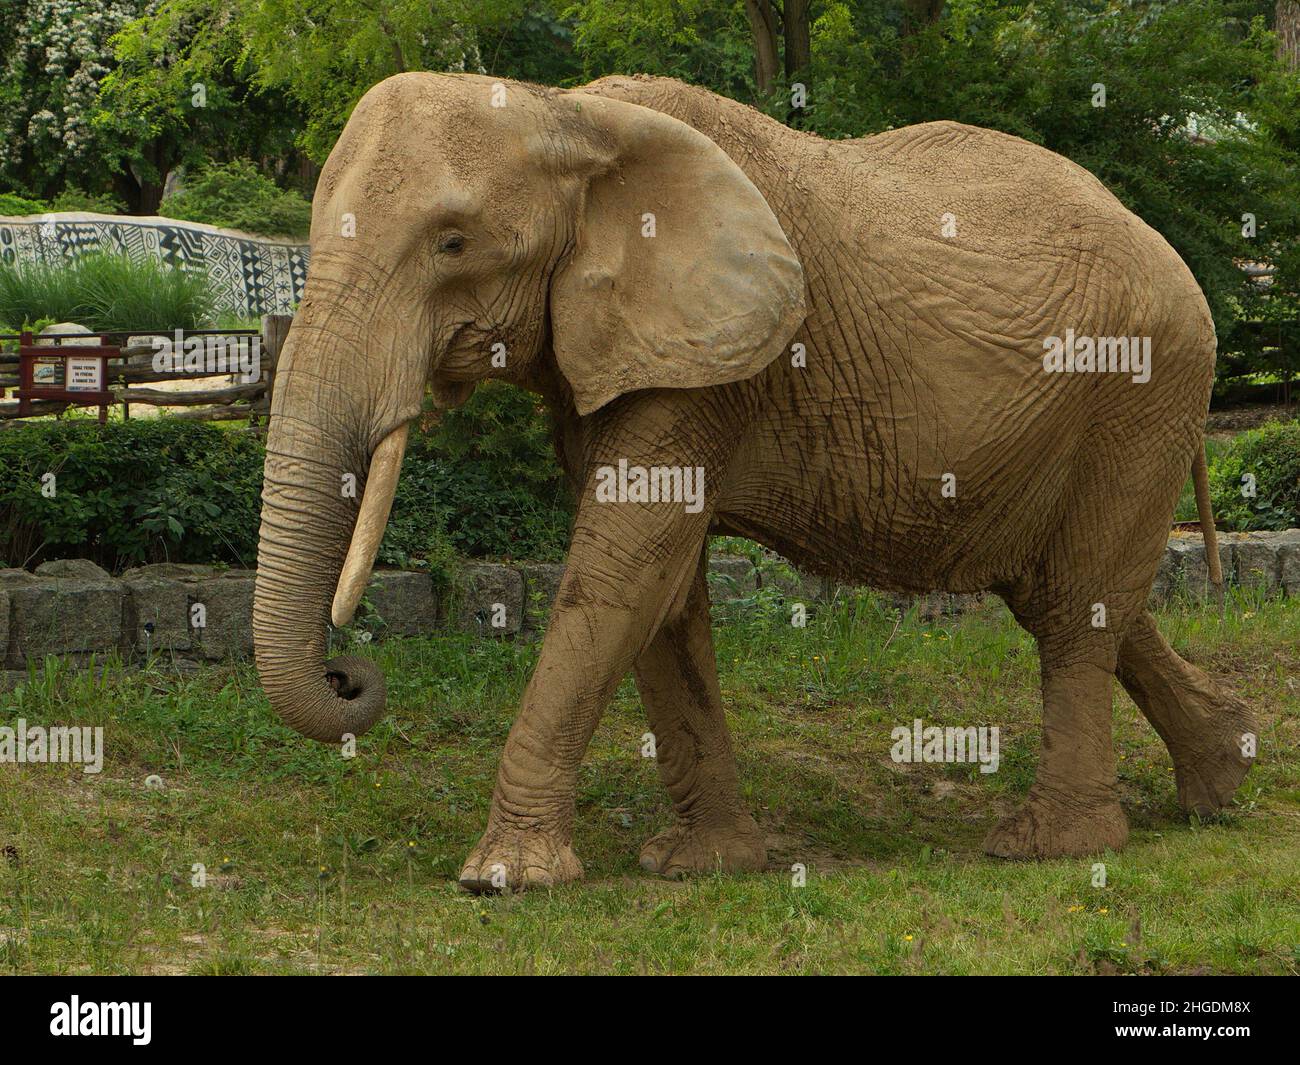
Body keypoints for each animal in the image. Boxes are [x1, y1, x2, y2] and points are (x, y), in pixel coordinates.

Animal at [252, 71, 1257, 892]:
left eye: (453, 243)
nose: (348, 671)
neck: (567, 114)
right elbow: (664, 591)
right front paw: (700, 866)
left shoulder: (716, 361)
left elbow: (620, 570)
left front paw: (505, 877)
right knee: (1063, 591)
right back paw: (1224, 779)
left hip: (1141, 390)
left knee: (1076, 604)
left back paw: (1051, 845)